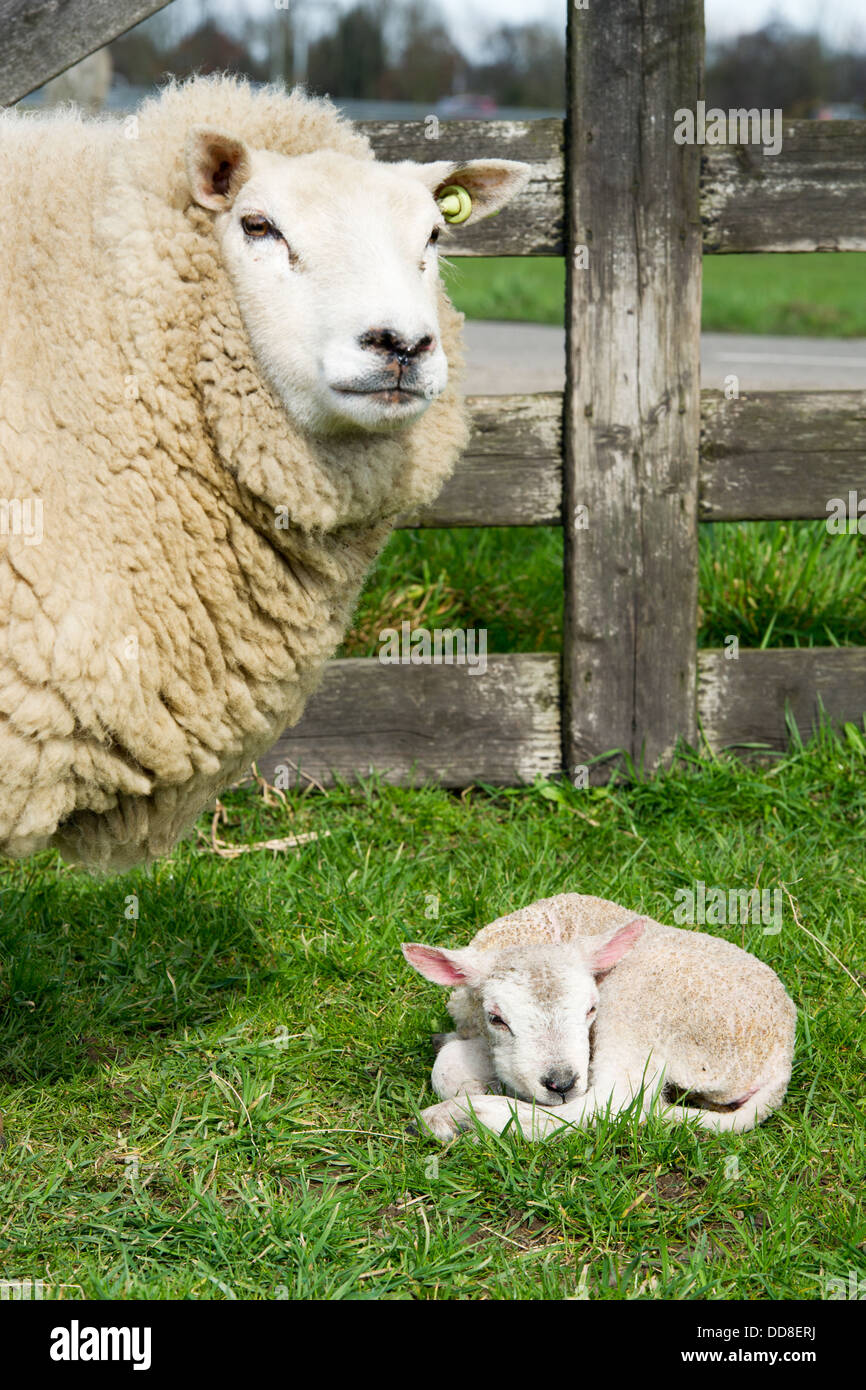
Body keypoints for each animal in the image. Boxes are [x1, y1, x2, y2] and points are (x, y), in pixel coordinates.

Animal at [403, 892, 797, 1141]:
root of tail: (781, 1060)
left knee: (613, 1105)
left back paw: (460, 1118)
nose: (561, 1083)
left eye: (591, 1008)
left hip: (642, 1013)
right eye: (496, 1018)